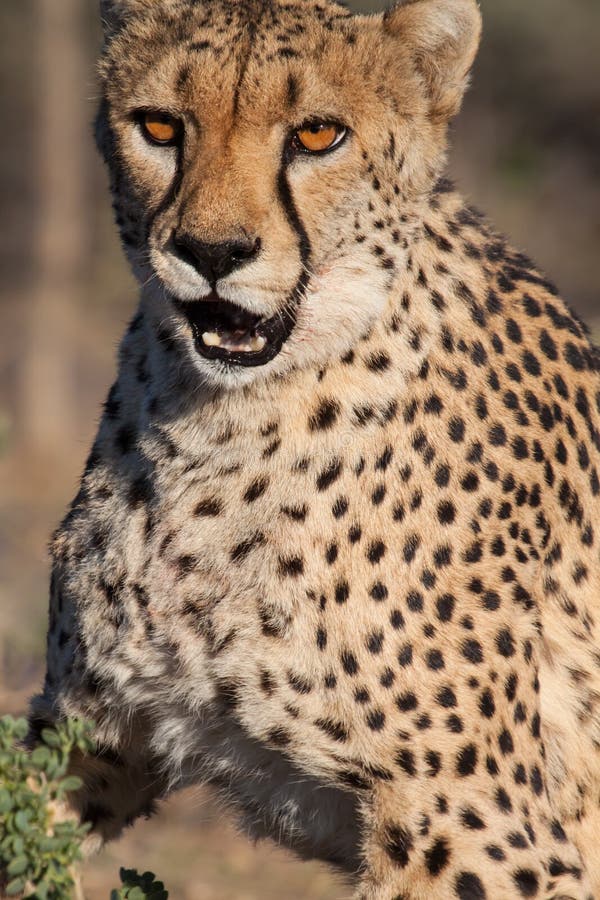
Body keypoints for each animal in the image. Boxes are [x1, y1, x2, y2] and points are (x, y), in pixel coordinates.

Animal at [23, 0, 600, 897]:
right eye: (159, 125)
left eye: (318, 135)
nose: (213, 253)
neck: (225, 422)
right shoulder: (92, 730)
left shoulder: (484, 834)